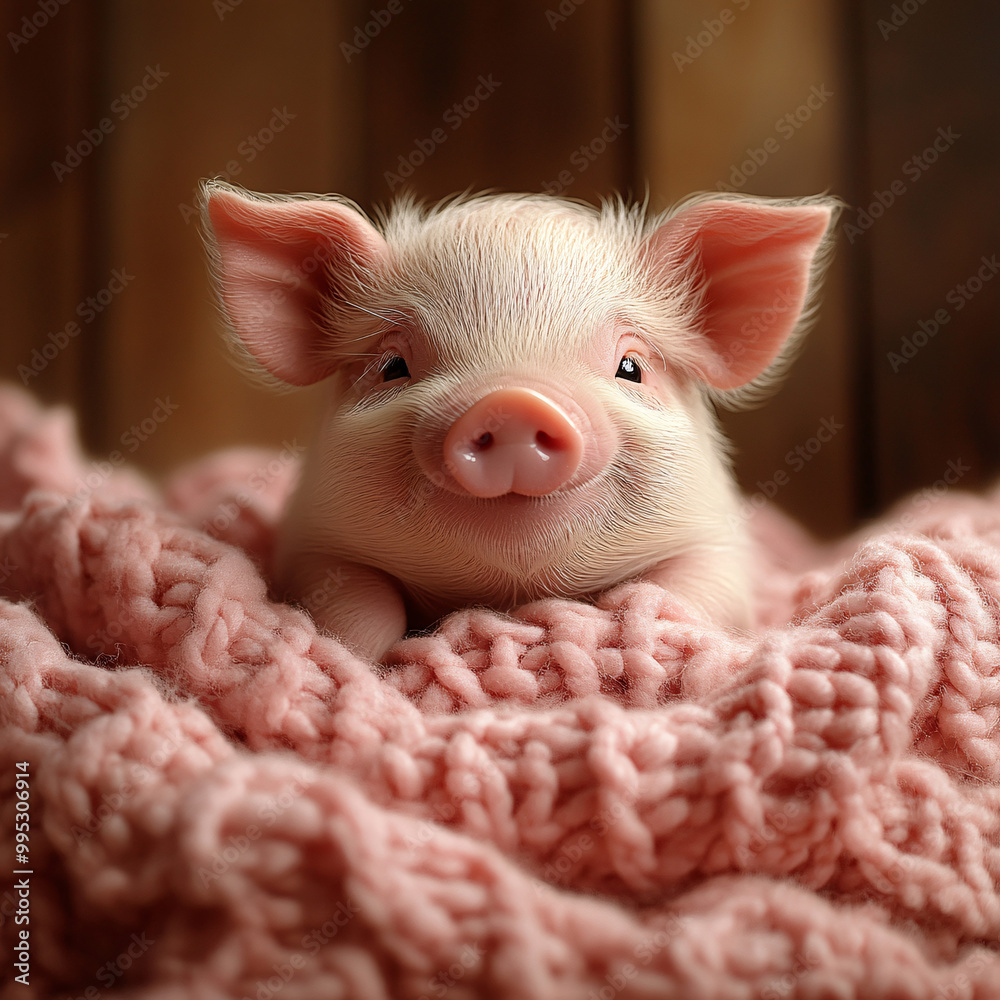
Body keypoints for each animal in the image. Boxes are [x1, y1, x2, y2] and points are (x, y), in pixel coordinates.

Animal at [201, 182, 838, 661]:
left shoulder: (718, 545)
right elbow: (354, 607)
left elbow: (685, 592)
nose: (512, 402)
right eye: (392, 366)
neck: (508, 593)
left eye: (631, 366)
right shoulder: (311, 544)